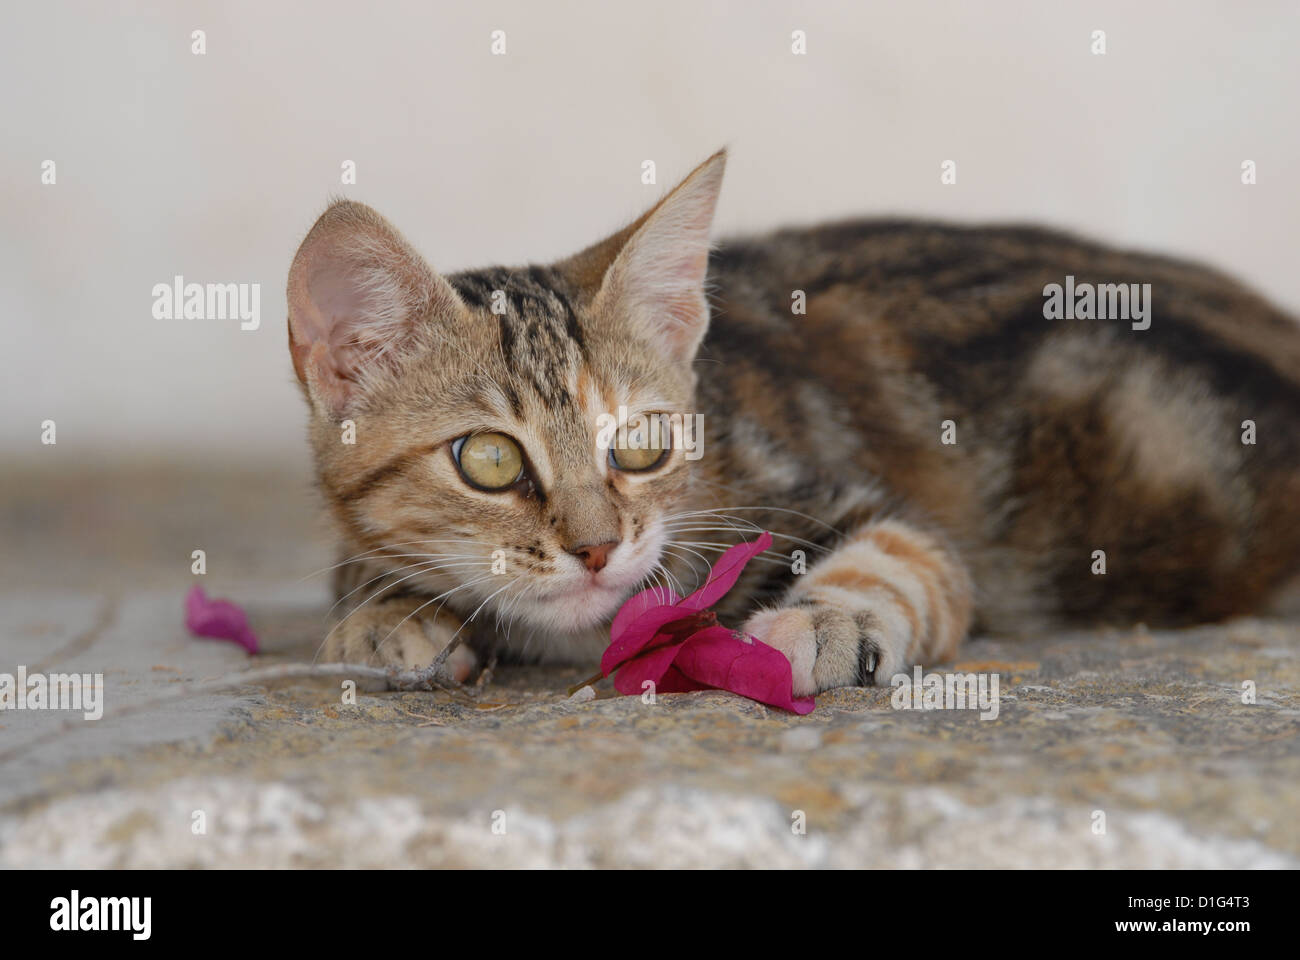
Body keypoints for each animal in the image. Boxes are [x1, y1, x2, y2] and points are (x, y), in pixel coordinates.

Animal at [287, 149, 1300, 692]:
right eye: (491, 461)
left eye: (642, 445)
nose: (599, 547)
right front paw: (388, 616)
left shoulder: (820, 487)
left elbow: (910, 553)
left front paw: (826, 617)